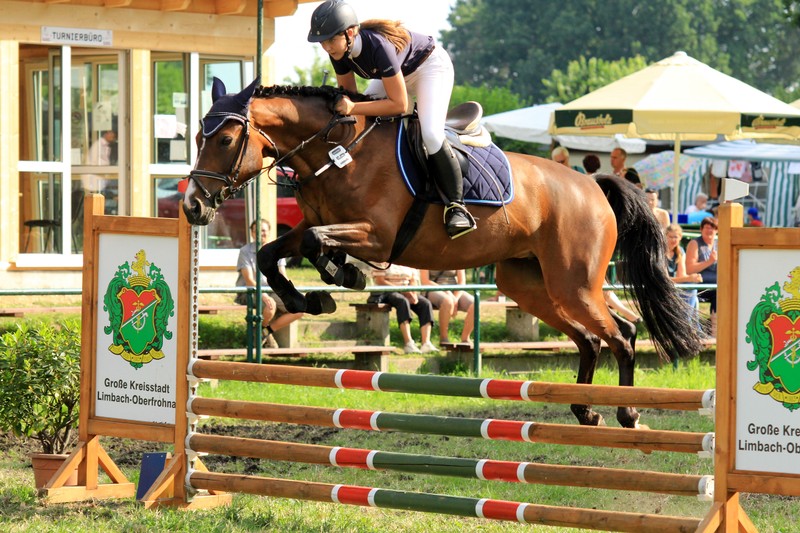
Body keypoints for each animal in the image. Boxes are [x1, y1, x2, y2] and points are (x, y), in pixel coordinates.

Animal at [183, 78, 703, 429]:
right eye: (198, 138)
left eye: (225, 139)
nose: (191, 206)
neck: (338, 151)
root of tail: (592, 185)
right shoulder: (313, 225)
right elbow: (273, 252)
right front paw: (308, 297)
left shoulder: (376, 235)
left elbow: (315, 244)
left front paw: (341, 278)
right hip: (528, 284)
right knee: (591, 339)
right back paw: (585, 411)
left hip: (574, 283)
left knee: (623, 333)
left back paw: (627, 413)